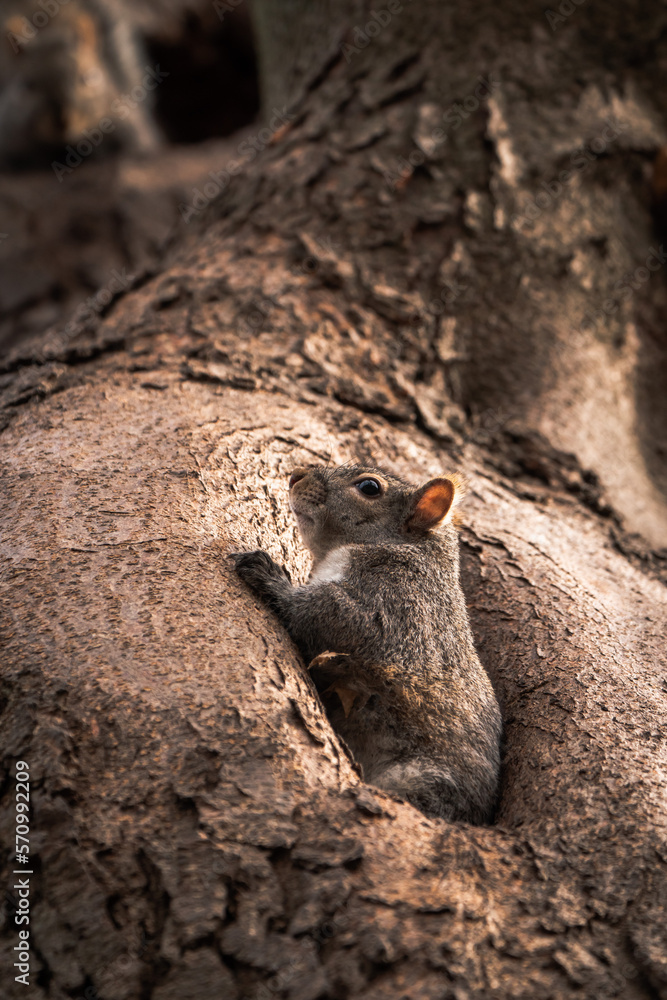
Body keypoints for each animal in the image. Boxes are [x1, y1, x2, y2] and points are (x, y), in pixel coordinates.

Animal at [233, 464, 502, 824]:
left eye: (370, 488)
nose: (296, 475)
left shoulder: (400, 605)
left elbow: (338, 618)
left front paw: (270, 577)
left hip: (427, 779)